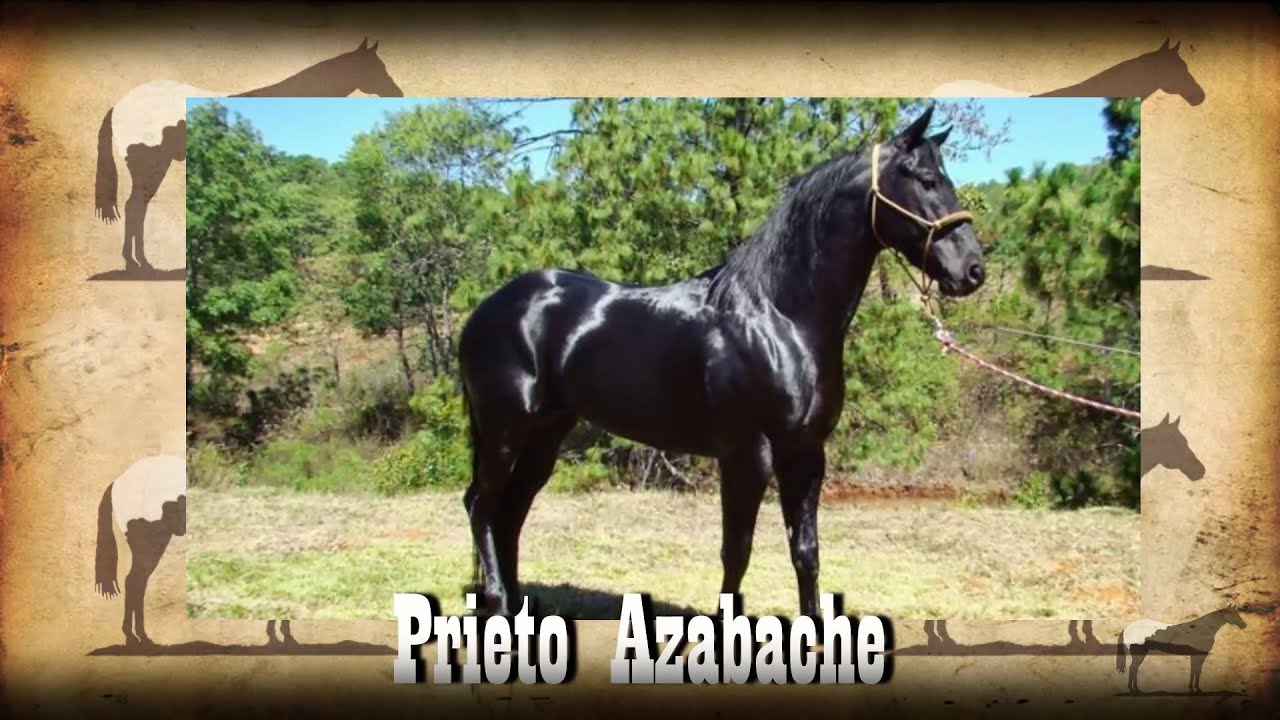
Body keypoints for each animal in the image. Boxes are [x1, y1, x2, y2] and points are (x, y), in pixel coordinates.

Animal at [93, 38, 403, 274]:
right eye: (375, 67)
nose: (398, 93)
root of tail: (120, 105)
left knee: (138, 208)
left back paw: (139, 263)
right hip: (149, 164)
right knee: (135, 207)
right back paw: (138, 265)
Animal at [95, 455, 296, 647]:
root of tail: (118, 481)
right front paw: (282, 637)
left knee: (137, 583)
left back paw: (139, 637)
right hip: (151, 542)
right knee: (134, 581)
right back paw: (135, 637)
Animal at [457, 104, 987, 618]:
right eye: (925, 179)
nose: (973, 270)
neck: (778, 317)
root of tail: (488, 308)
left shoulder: (806, 454)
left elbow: (806, 551)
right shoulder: (746, 455)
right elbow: (738, 551)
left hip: (547, 432)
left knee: (510, 513)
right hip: (505, 430)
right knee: (482, 506)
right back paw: (499, 605)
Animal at [1117, 605, 1247, 693]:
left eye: (1237, 613)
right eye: (1232, 614)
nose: (1244, 625)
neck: (1202, 630)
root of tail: (1127, 628)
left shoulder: (1197, 655)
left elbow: (1195, 671)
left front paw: (1194, 689)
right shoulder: (1199, 655)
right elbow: (1196, 671)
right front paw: (1196, 689)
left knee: (1134, 669)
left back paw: (1136, 689)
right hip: (1139, 654)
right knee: (1133, 668)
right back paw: (1133, 690)